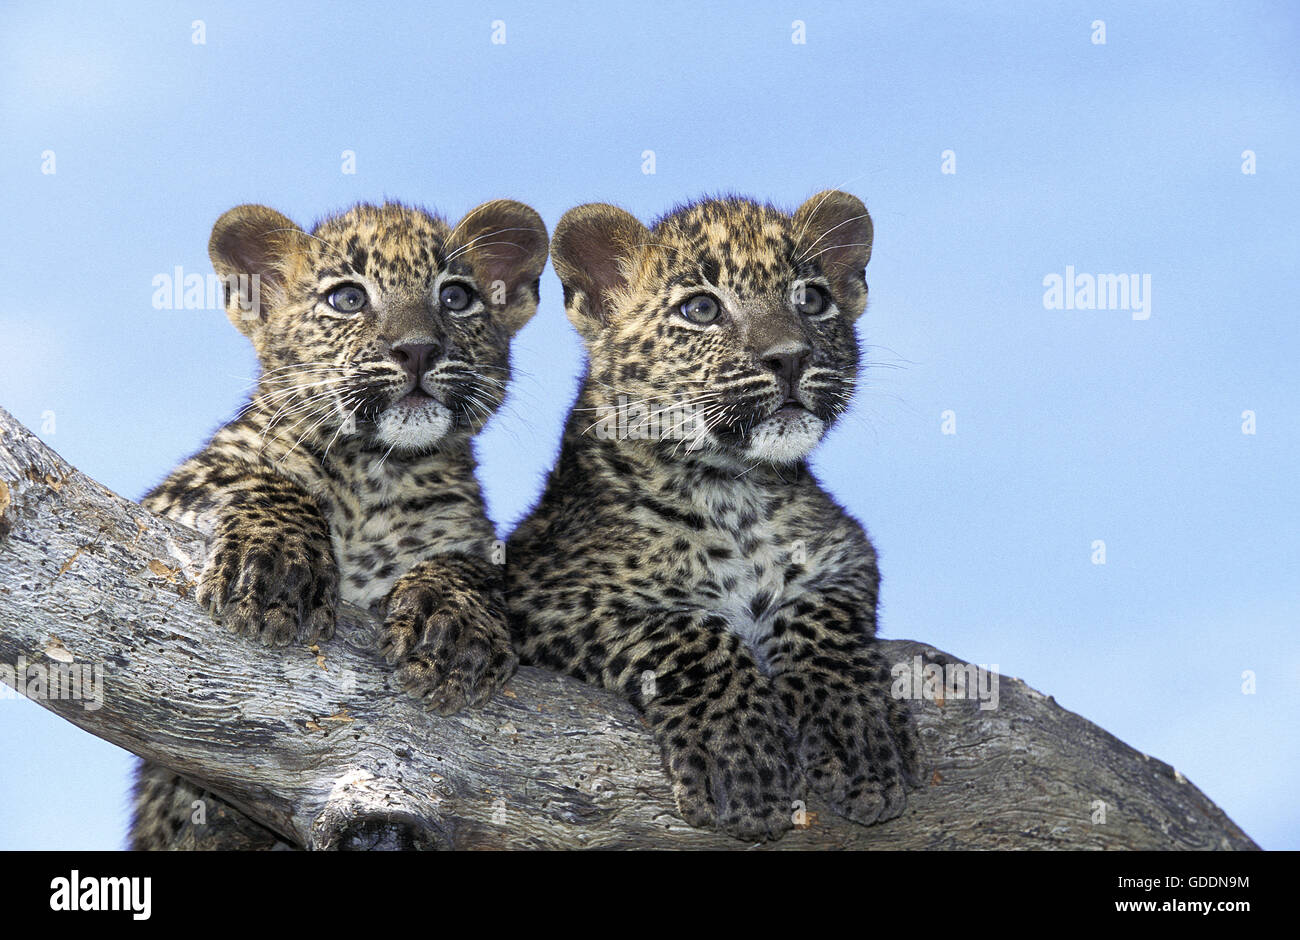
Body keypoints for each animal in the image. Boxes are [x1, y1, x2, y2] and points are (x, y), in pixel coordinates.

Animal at [130, 198, 548, 849]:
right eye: (347, 299)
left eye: (456, 297)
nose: (417, 350)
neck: (379, 473)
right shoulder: (174, 492)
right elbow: (265, 481)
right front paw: (276, 572)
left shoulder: (471, 535)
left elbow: (471, 565)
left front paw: (452, 629)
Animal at [506, 190, 923, 842]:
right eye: (701, 309)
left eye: (812, 299)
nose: (790, 357)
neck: (734, 494)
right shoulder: (543, 592)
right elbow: (685, 631)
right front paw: (742, 762)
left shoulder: (846, 553)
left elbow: (821, 626)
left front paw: (858, 734)